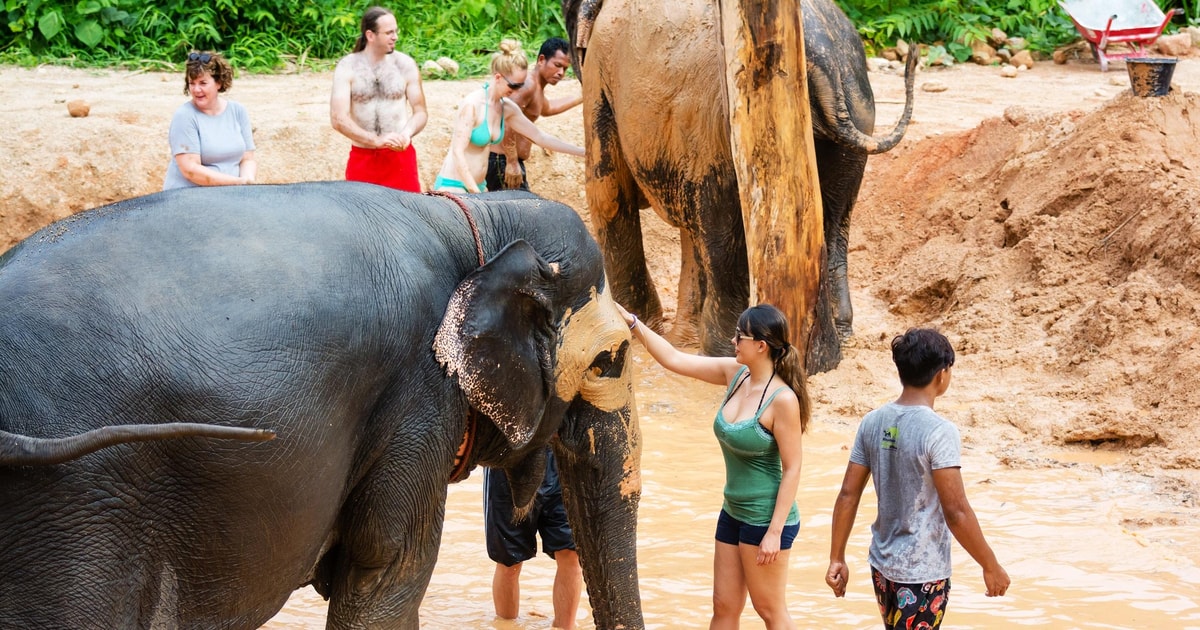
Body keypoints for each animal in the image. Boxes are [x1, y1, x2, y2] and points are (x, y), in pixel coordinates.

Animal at [562, 0, 917, 372]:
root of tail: (818, 54)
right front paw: (676, 338)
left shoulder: (599, 73)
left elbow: (606, 195)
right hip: (859, 108)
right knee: (834, 220)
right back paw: (832, 348)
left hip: (721, 121)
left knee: (720, 228)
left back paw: (721, 349)